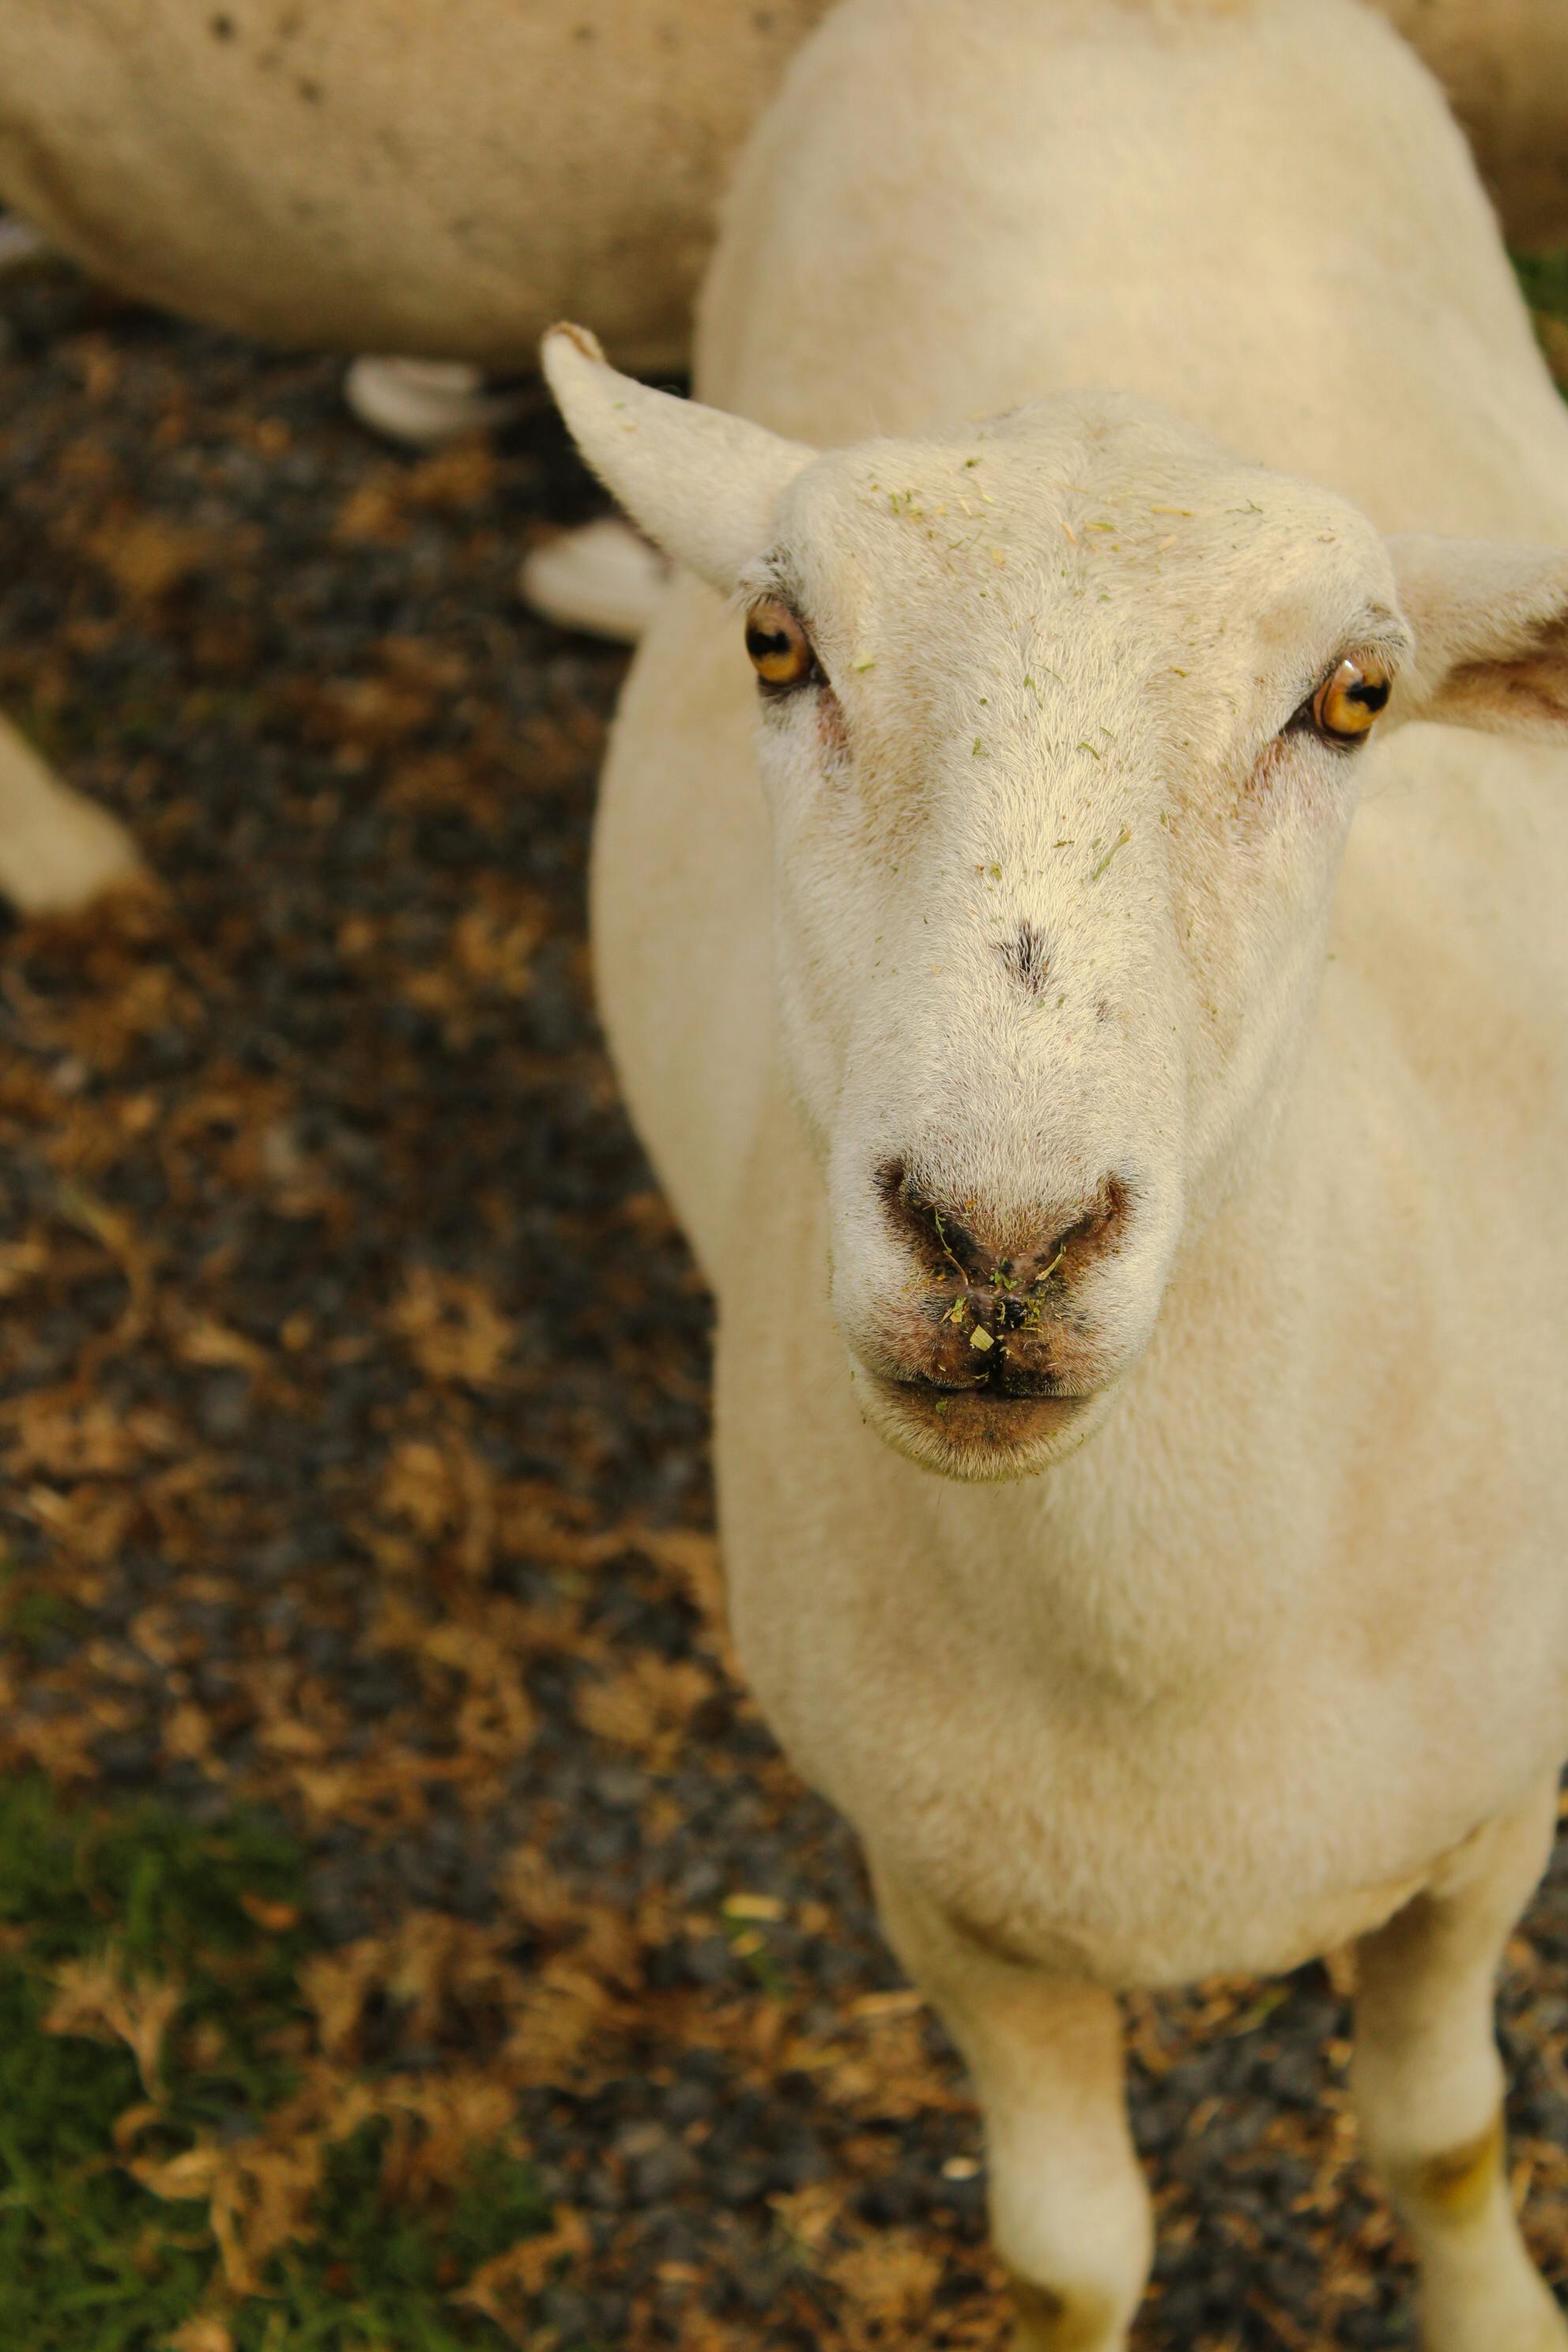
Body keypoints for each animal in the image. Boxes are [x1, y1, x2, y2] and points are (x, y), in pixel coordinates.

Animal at [542, 0, 1568, 2341]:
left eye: (1353, 697)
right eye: (775, 647)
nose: (997, 1237)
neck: (1165, 1637)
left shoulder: (1490, 1821)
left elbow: (1442, 2131)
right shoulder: (944, 1896)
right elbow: (1063, 2256)